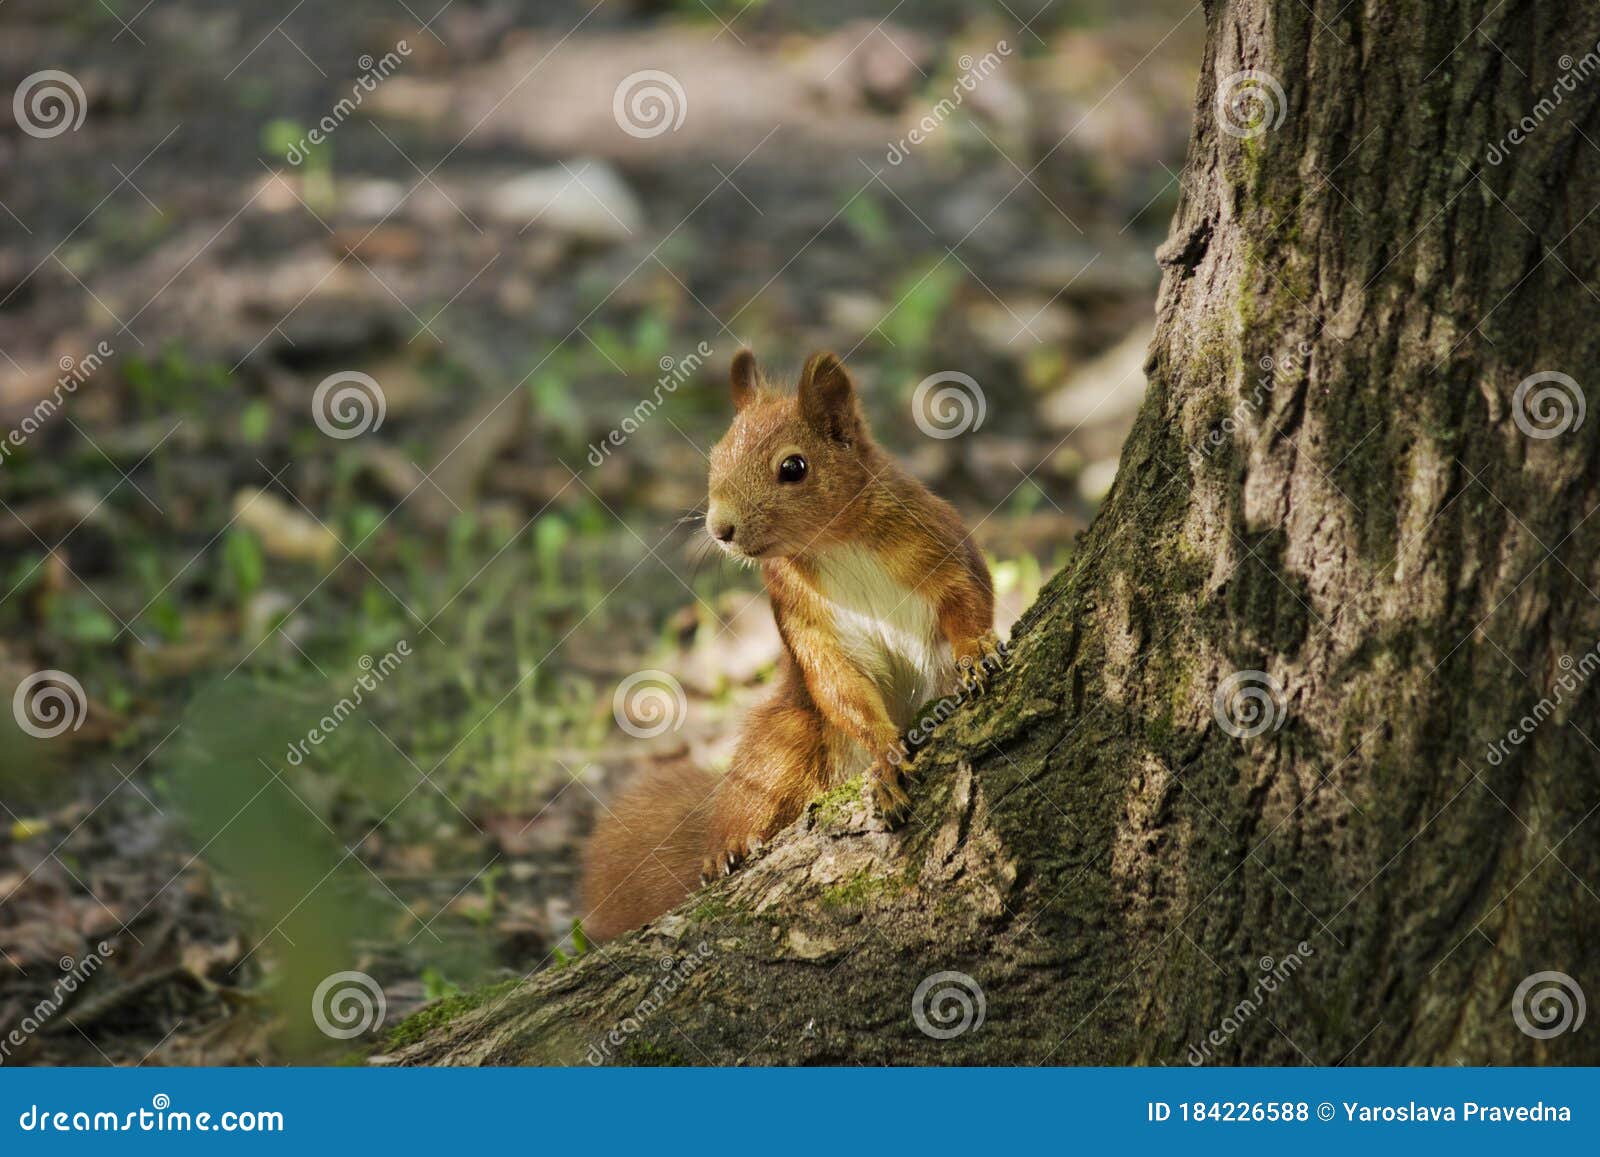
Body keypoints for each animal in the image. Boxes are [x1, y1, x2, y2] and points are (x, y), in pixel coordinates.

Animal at [580, 349, 1000, 940]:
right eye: (715, 457)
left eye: (793, 468)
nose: (720, 528)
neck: (835, 544)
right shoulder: (804, 620)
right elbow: (839, 685)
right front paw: (886, 760)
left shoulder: (941, 546)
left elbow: (969, 603)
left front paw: (976, 652)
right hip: (788, 736)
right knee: (755, 787)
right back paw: (725, 846)